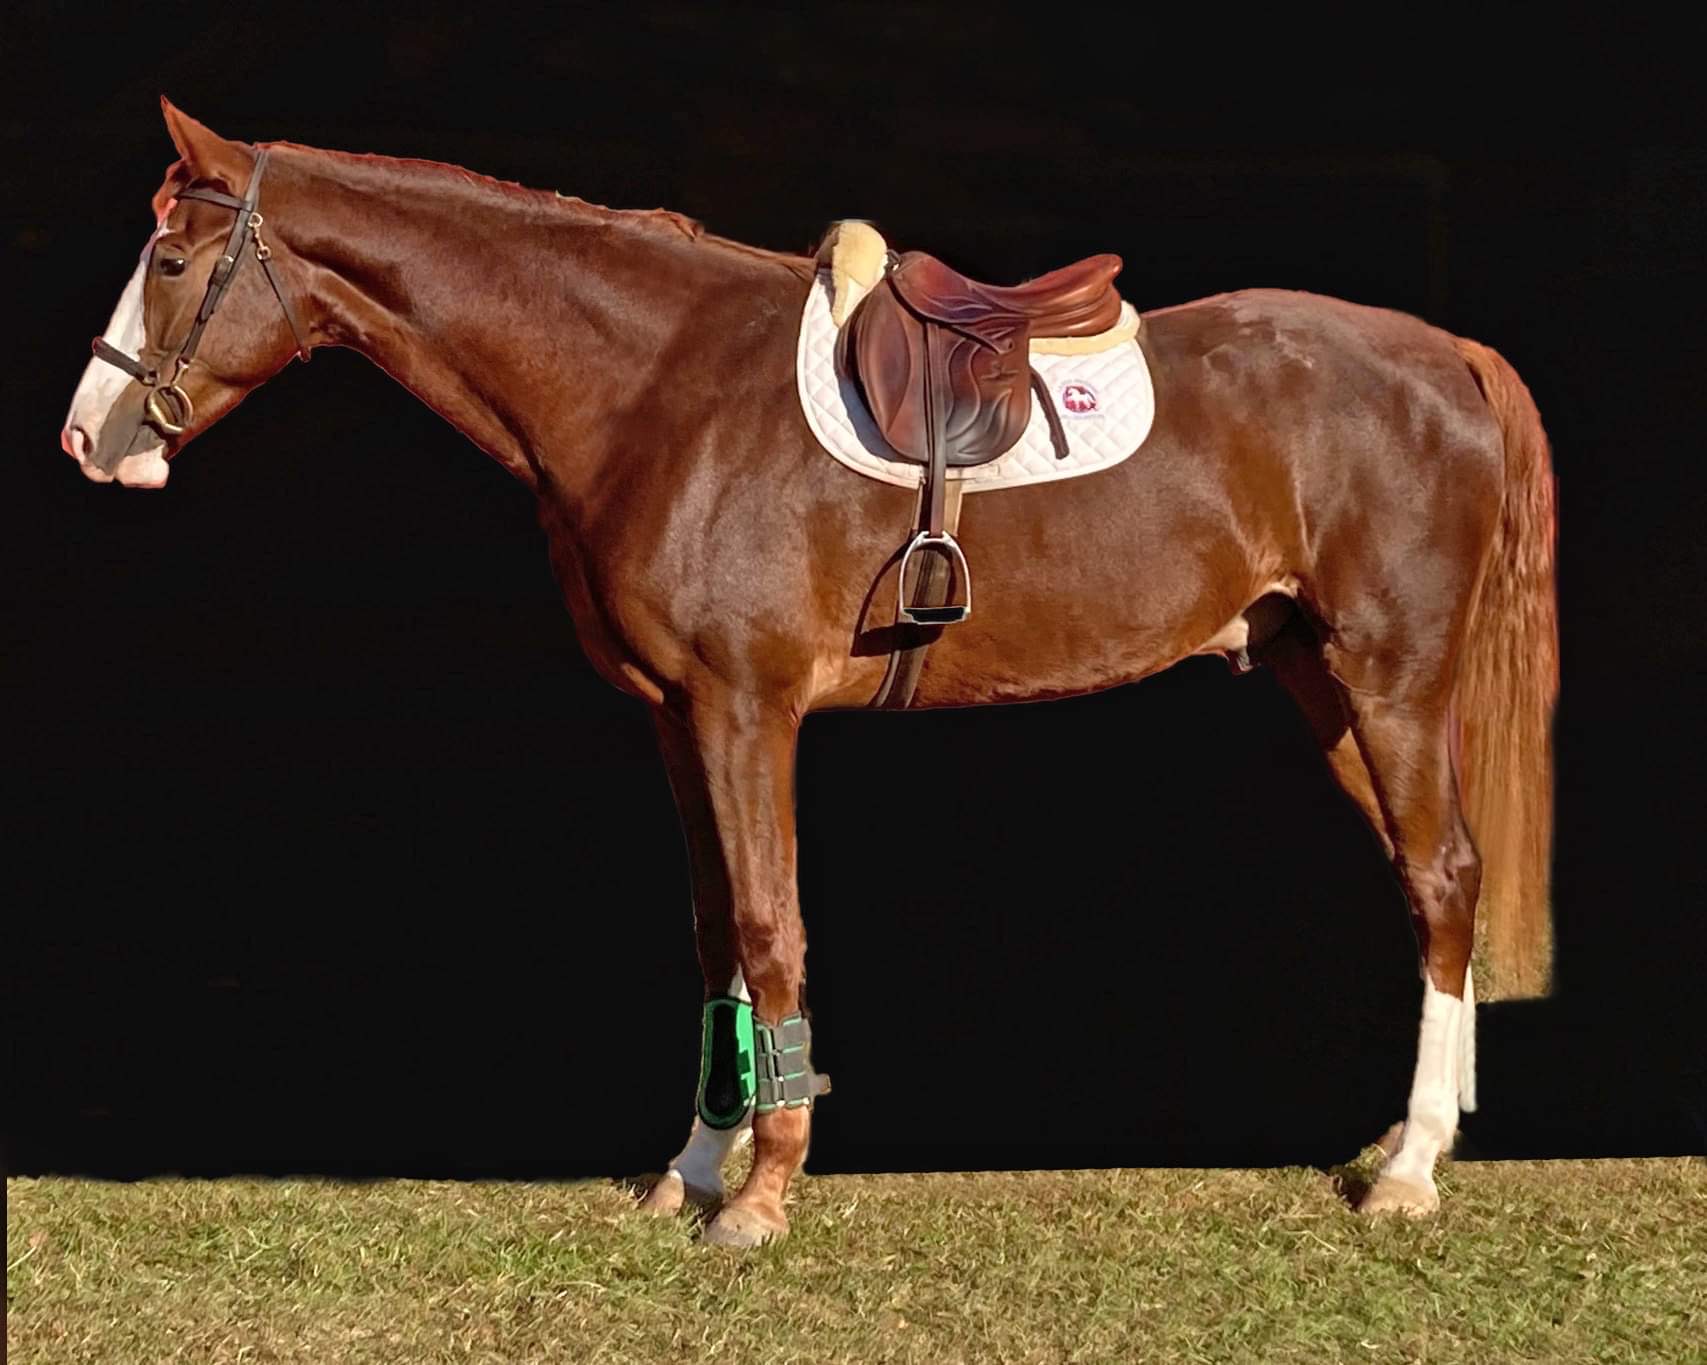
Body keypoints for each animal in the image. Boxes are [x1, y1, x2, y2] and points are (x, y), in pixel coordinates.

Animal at [60, 100, 1558, 1248]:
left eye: (175, 257)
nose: (86, 435)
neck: (655, 389)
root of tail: (1445, 355)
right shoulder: (677, 721)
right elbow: (718, 933)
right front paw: (694, 1168)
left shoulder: (747, 709)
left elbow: (773, 929)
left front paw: (761, 1196)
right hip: (1320, 684)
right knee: (1434, 879)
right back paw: (1414, 1143)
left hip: (1389, 680)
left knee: (1441, 877)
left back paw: (1409, 1173)